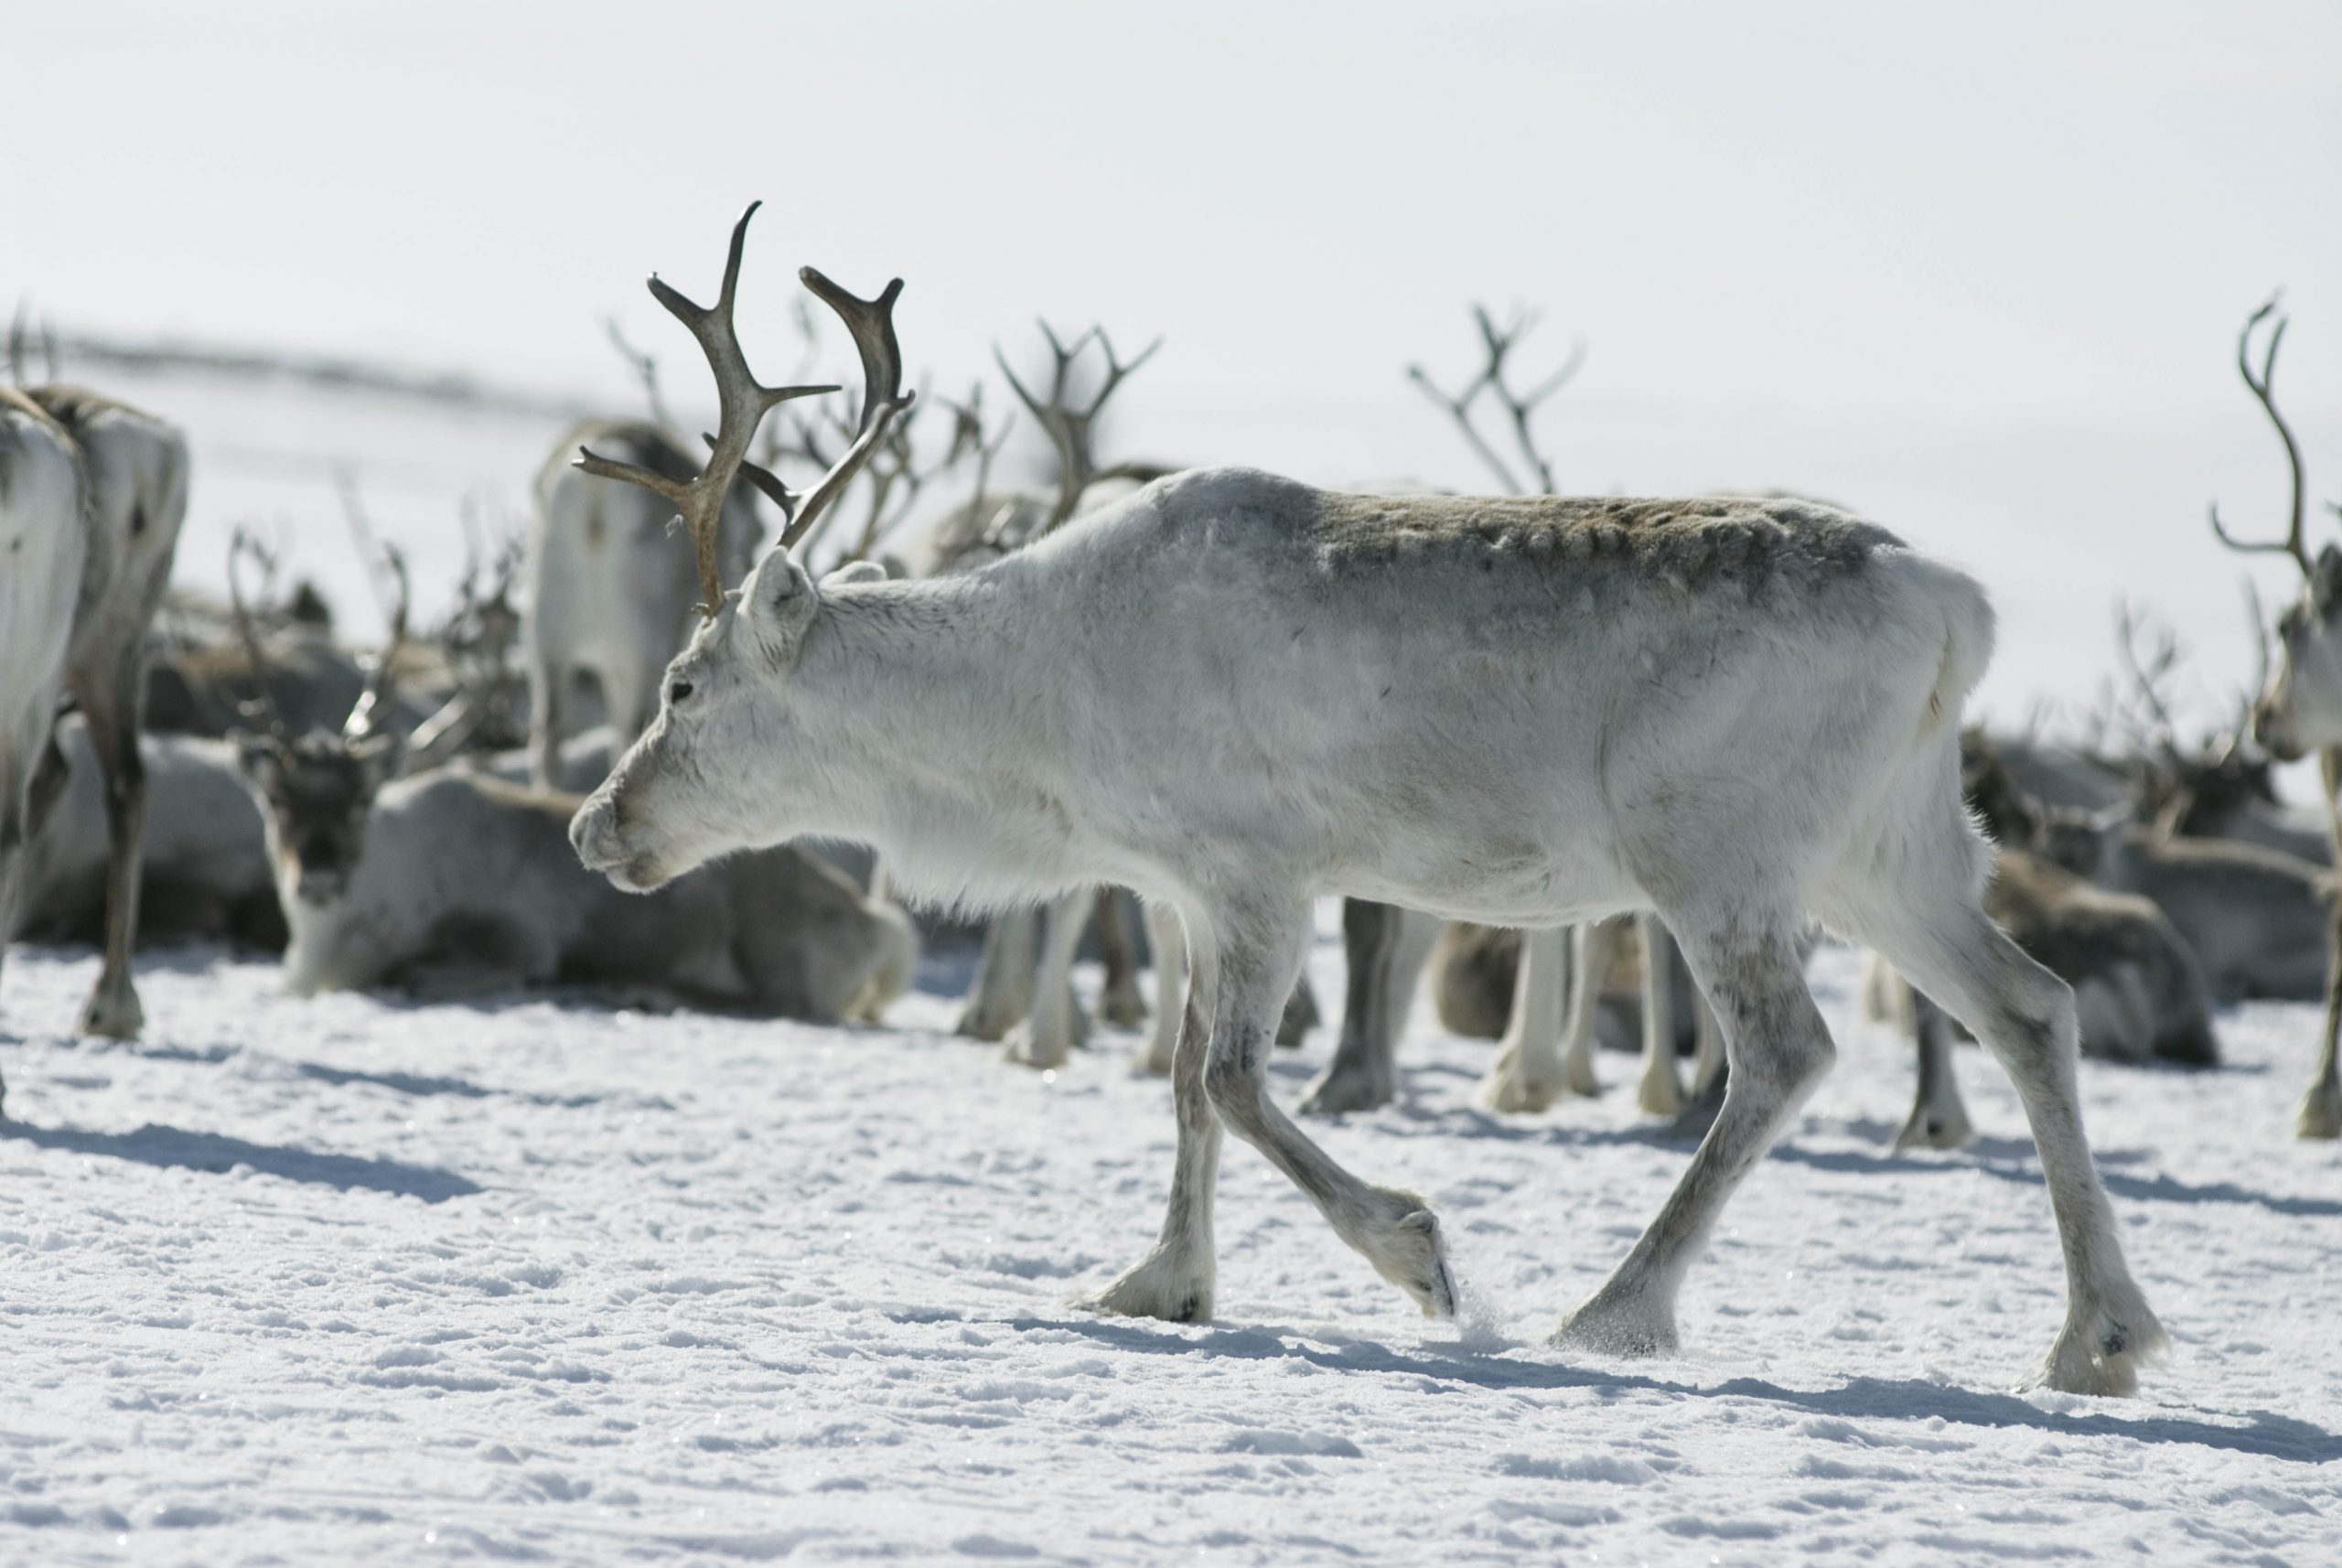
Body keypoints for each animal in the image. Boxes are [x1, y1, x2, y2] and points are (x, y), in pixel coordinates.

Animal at [565, 206, 2160, 1395]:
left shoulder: (1261, 867)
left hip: (1722, 851)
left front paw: (1418, 1250)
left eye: (686, 686)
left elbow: (1226, 1078)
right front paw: (1162, 1279)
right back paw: (2099, 1334)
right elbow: (1184, 1082)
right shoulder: (1188, 885)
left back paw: (1614, 1307)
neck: (1032, 715)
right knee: (2032, 1004)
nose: (596, 825)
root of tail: (1954, 607)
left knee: (1786, 1050)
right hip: (1893, 852)